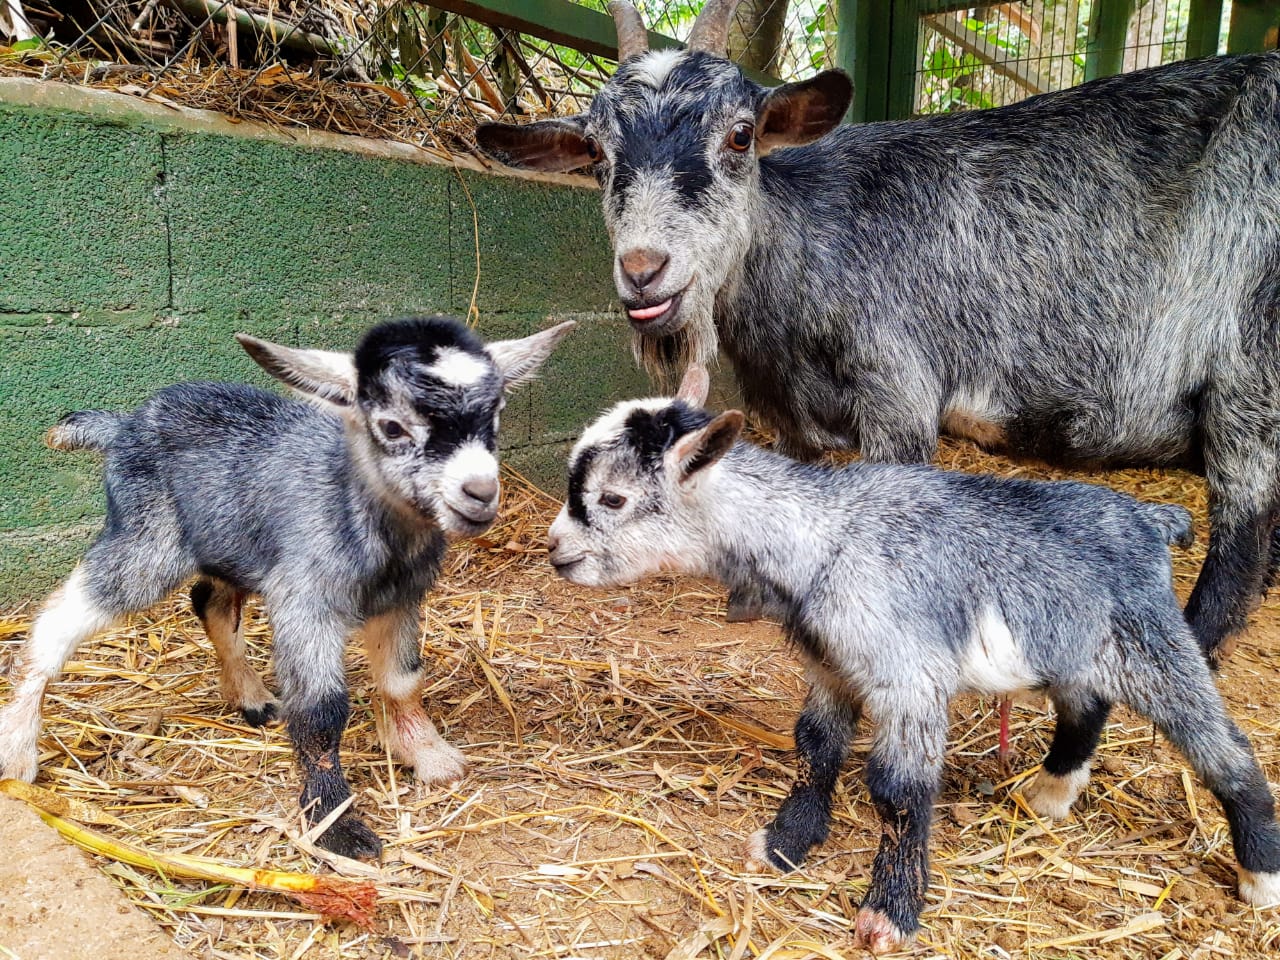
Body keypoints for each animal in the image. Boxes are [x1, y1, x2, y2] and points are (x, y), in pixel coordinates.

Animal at [0, 315, 574, 859]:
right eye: (391, 426)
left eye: (494, 416)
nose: (480, 492)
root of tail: (122, 426)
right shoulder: (305, 597)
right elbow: (321, 710)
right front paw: (334, 823)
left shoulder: (400, 600)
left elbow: (402, 680)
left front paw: (427, 754)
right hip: (148, 540)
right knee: (63, 616)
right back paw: (17, 748)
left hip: (234, 545)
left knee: (210, 602)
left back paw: (252, 699)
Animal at [477, 0, 1280, 665]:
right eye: (597, 154)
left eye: (741, 136)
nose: (644, 271)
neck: (810, 243)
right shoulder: (789, 418)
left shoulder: (899, 388)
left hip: (1253, 351)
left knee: (1243, 510)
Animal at [546, 371, 1280, 953]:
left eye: (612, 498)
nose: (557, 551)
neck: (825, 537)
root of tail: (1153, 520)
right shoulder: (831, 667)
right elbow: (814, 745)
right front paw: (784, 844)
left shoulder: (909, 678)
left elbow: (898, 792)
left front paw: (888, 915)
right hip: (1073, 642)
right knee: (1088, 703)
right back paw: (1051, 791)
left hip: (1152, 642)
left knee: (1221, 743)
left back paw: (1260, 872)